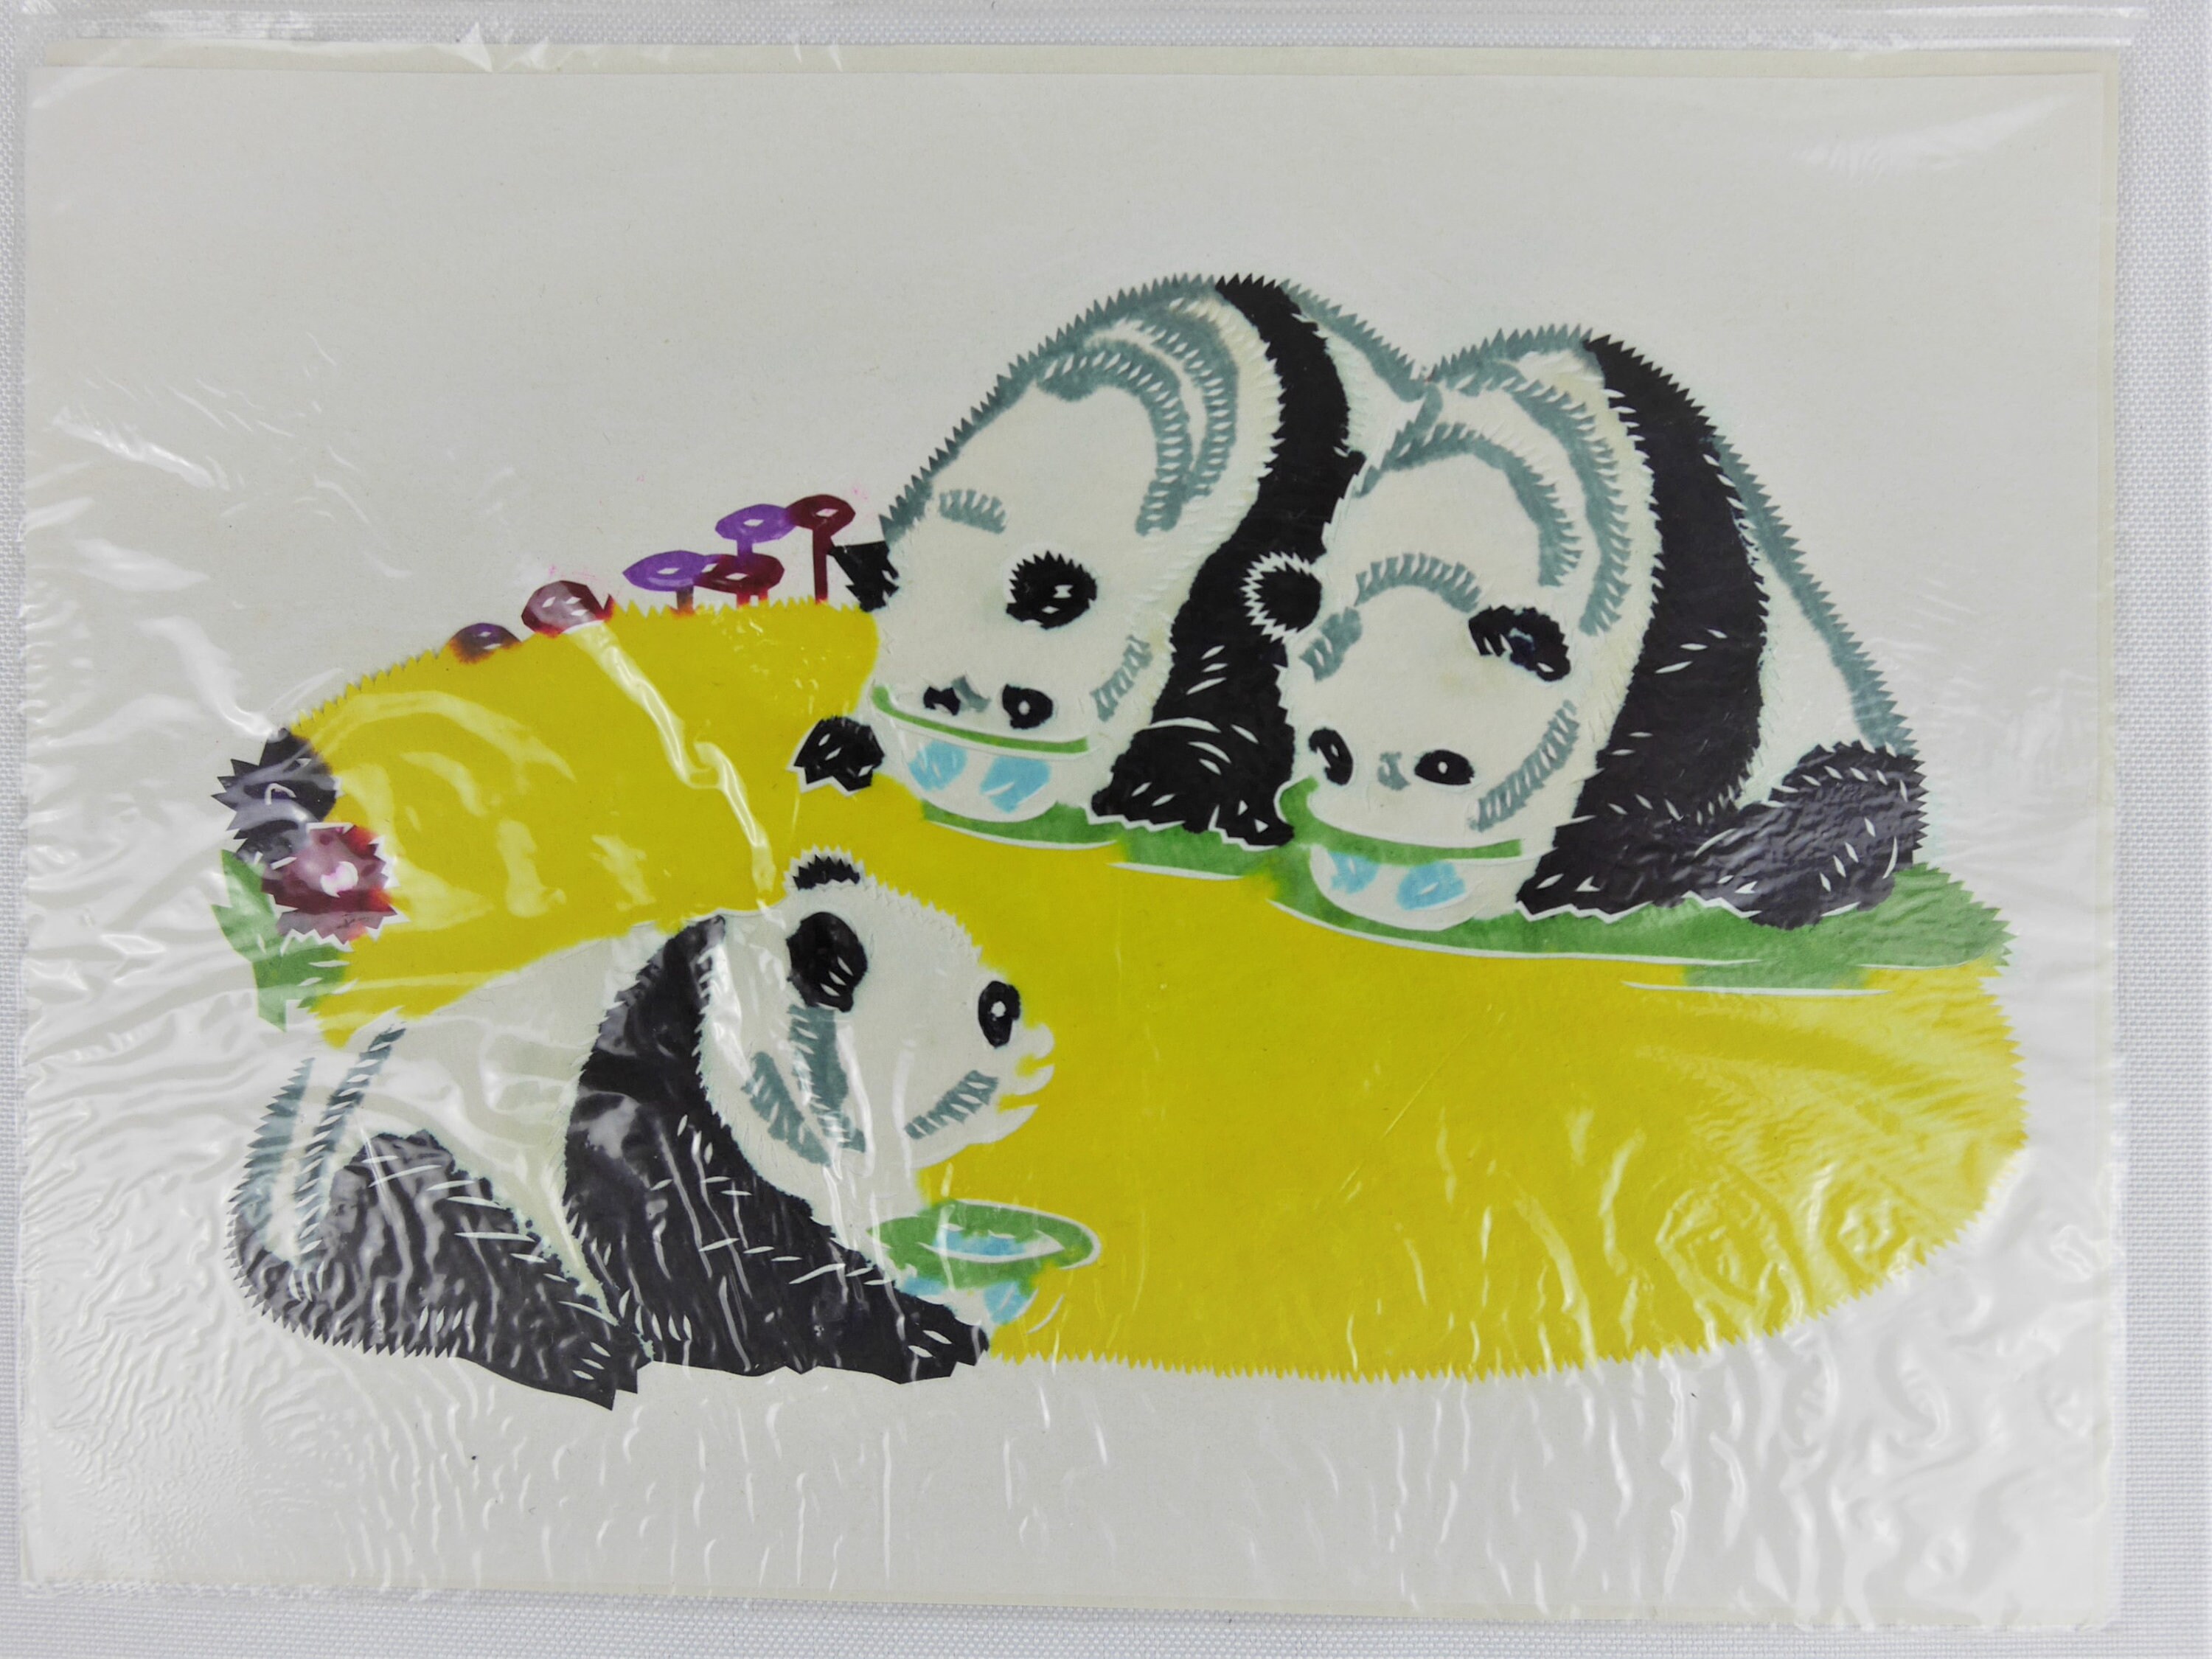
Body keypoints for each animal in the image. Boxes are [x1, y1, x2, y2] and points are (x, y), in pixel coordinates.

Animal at [229, 854, 1056, 1406]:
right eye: (990, 1012)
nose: (1027, 1023)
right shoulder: (650, 1106)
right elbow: (704, 1266)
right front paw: (918, 1333)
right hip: (403, 1168)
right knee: (466, 1255)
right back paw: (586, 1356)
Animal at [794, 276, 1421, 848]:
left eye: (1025, 704)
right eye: (927, 695)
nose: (966, 795)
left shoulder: (1282, 503)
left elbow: (1242, 672)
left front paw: (1165, 790)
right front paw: (841, 746)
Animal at [1260, 330, 1923, 934]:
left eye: (1446, 766)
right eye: (1332, 751)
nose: (1378, 890)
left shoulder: (1678, 556)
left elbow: (1689, 726)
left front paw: (1587, 882)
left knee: (1844, 810)